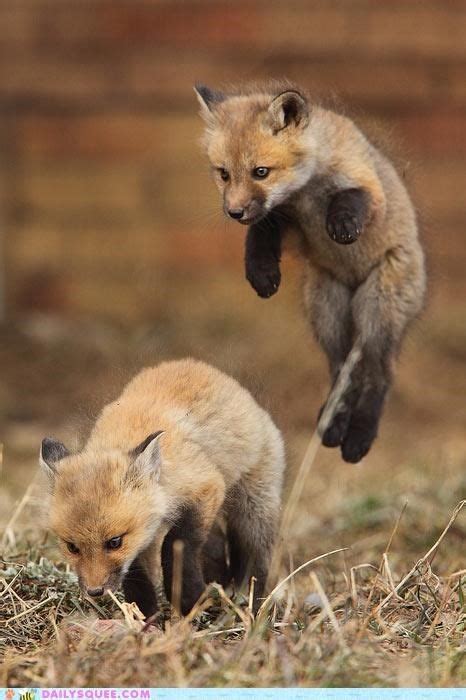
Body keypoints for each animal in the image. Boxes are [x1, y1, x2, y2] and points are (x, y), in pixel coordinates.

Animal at [39, 359, 285, 617]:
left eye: (114, 542)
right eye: (72, 547)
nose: (95, 591)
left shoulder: (206, 487)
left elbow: (174, 543)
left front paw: (187, 598)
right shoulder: (144, 532)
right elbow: (136, 572)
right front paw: (147, 615)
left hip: (253, 511)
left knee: (255, 559)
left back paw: (249, 601)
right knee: (216, 548)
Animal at [195, 82, 426, 463]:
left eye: (261, 172)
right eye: (223, 173)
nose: (234, 212)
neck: (305, 190)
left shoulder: (363, 182)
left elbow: (353, 199)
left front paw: (342, 223)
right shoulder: (283, 219)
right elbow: (257, 238)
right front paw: (261, 274)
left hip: (377, 313)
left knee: (379, 375)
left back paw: (359, 436)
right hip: (327, 312)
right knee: (341, 370)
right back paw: (333, 424)